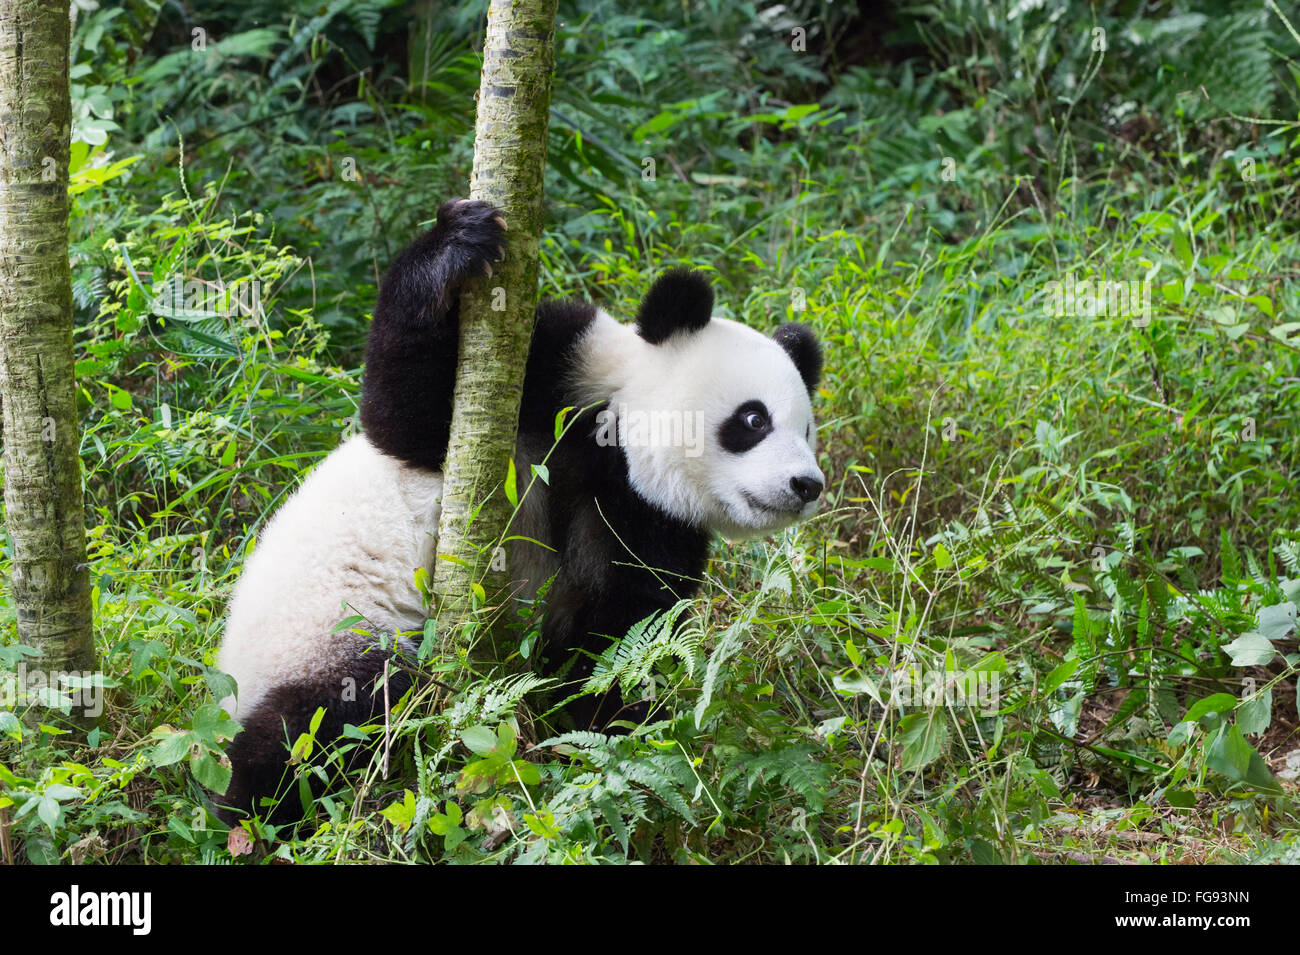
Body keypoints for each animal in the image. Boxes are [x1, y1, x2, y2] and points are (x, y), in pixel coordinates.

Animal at [215, 198, 824, 822]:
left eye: (805, 430)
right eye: (754, 419)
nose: (807, 485)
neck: (616, 451)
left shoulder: (647, 521)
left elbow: (615, 637)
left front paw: (614, 740)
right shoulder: (558, 370)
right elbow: (406, 421)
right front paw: (457, 241)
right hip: (328, 631)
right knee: (330, 716)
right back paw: (253, 807)